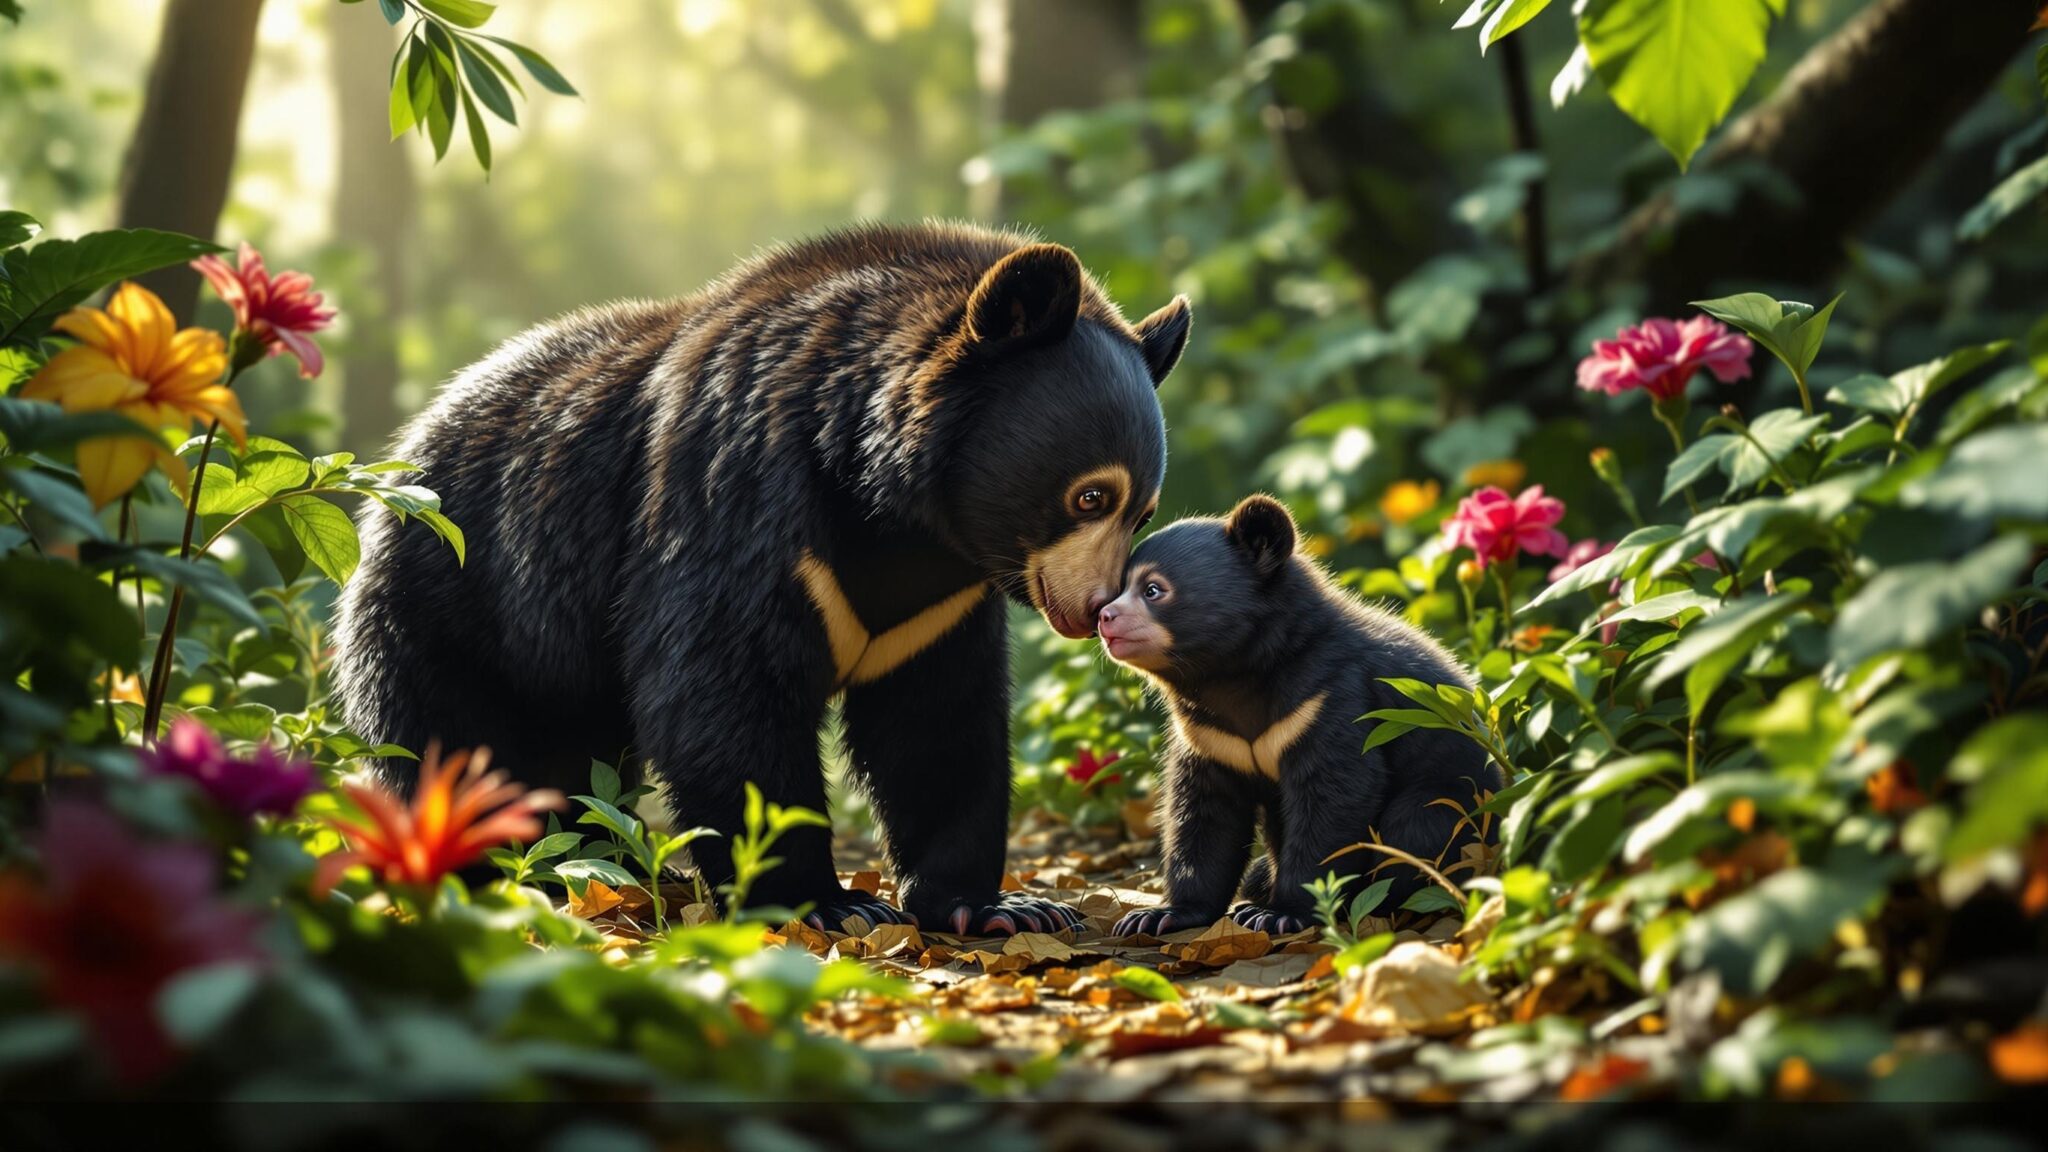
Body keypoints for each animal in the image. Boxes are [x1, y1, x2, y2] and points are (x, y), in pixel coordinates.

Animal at [333, 222, 1191, 935]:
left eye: (1142, 510)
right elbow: (724, 691)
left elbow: (938, 722)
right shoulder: (740, 500)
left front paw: (1001, 907)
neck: (898, 516)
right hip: (453, 589)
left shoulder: (938, 604)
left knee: (577, 754)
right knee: (445, 740)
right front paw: (830, 905)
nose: (1095, 608)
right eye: (1089, 496)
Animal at [1095, 495, 1500, 936]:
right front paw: (1157, 916)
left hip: (1458, 803)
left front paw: (1278, 914)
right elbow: (1202, 814)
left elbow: (1334, 799)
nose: (1104, 617)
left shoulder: (1327, 700)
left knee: (1415, 831)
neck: (1232, 674)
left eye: (1153, 589)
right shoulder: (1208, 736)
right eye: (1118, 588)